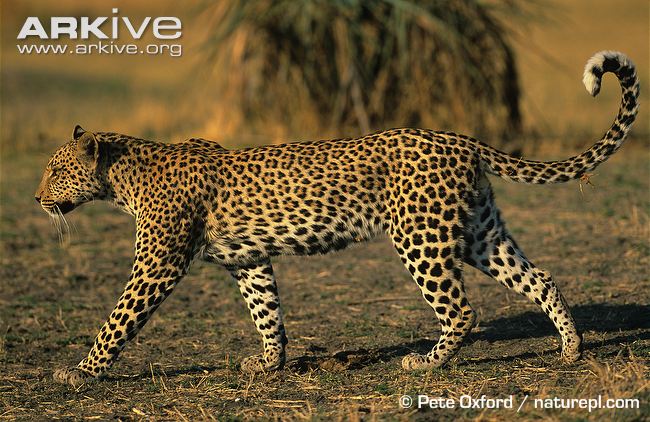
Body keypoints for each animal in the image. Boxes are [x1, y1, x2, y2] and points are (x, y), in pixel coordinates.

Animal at [35, 51, 639, 387]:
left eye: (56, 171)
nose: (38, 199)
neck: (122, 180)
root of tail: (459, 137)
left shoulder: (157, 264)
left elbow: (118, 319)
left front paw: (82, 371)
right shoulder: (249, 259)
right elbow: (267, 313)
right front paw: (269, 365)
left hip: (420, 238)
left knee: (461, 309)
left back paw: (426, 364)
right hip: (477, 232)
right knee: (540, 277)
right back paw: (570, 349)